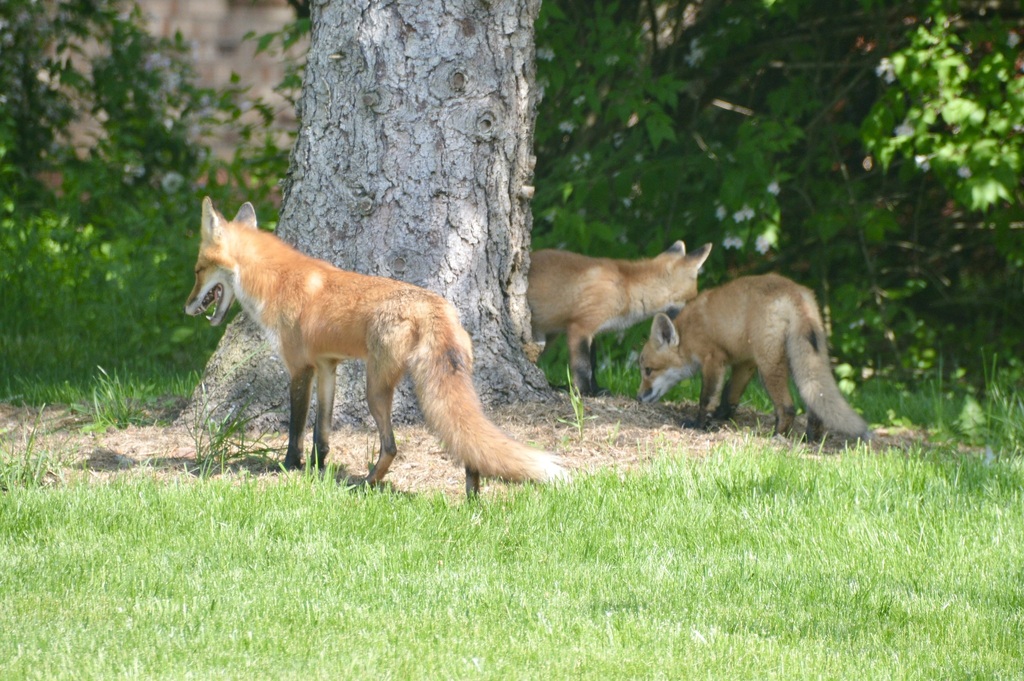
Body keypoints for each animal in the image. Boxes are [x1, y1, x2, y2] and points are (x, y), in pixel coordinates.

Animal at [184, 198, 568, 496]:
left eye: (198, 270)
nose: (186, 307)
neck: (277, 282)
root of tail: (435, 306)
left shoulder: (300, 368)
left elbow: (295, 428)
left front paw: (290, 467)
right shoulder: (327, 366)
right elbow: (322, 432)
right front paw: (318, 469)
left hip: (375, 389)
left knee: (391, 446)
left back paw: (368, 484)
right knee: (465, 442)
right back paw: (472, 496)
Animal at [527, 241, 713, 396]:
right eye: (692, 299)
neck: (627, 288)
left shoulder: (592, 332)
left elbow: (593, 363)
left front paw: (596, 389)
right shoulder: (580, 327)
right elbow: (583, 367)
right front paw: (585, 392)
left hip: (548, 338)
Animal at [637, 273, 871, 441]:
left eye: (648, 370)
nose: (638, 397)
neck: (687, 335)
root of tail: (794, 291)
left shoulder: (714, 360)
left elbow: (707, 398)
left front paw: (700, 425)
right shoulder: (745, 362)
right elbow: (729, 395)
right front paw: (722, 417)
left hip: (769, 366)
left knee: (787, 407)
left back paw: (777, 437)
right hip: (804, 361)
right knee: (815, 404)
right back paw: (811, 439)